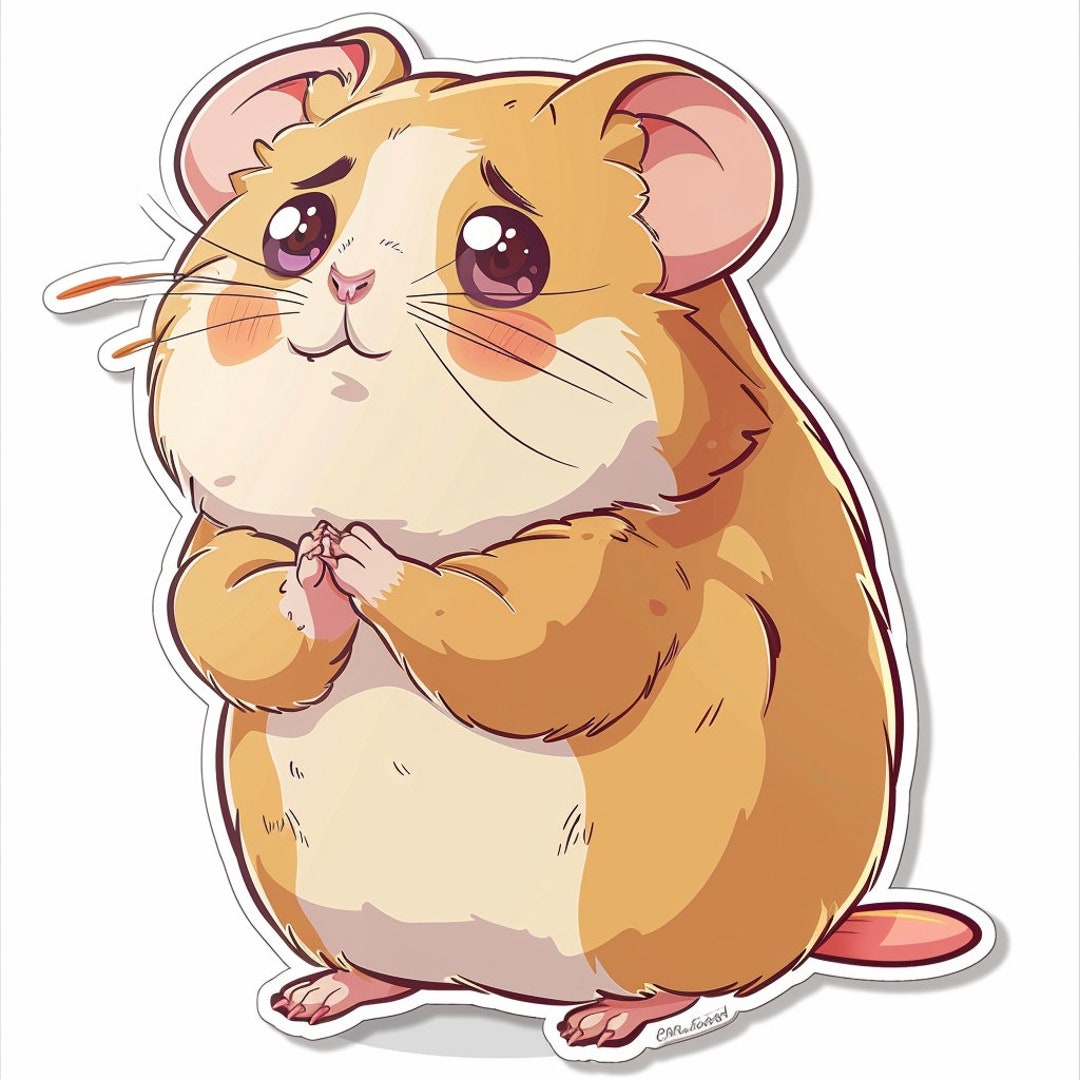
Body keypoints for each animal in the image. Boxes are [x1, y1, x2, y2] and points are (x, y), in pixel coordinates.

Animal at [50, 20, 988, 1058]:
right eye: (294, 228)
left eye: (503, 253)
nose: (346, 279)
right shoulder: (224, 542)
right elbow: (221, 611)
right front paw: (318, 561)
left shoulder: (618, 565)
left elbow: (521, 633)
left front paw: (359, 555)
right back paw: (319, 996)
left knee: (685, 985)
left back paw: (606, 1020)